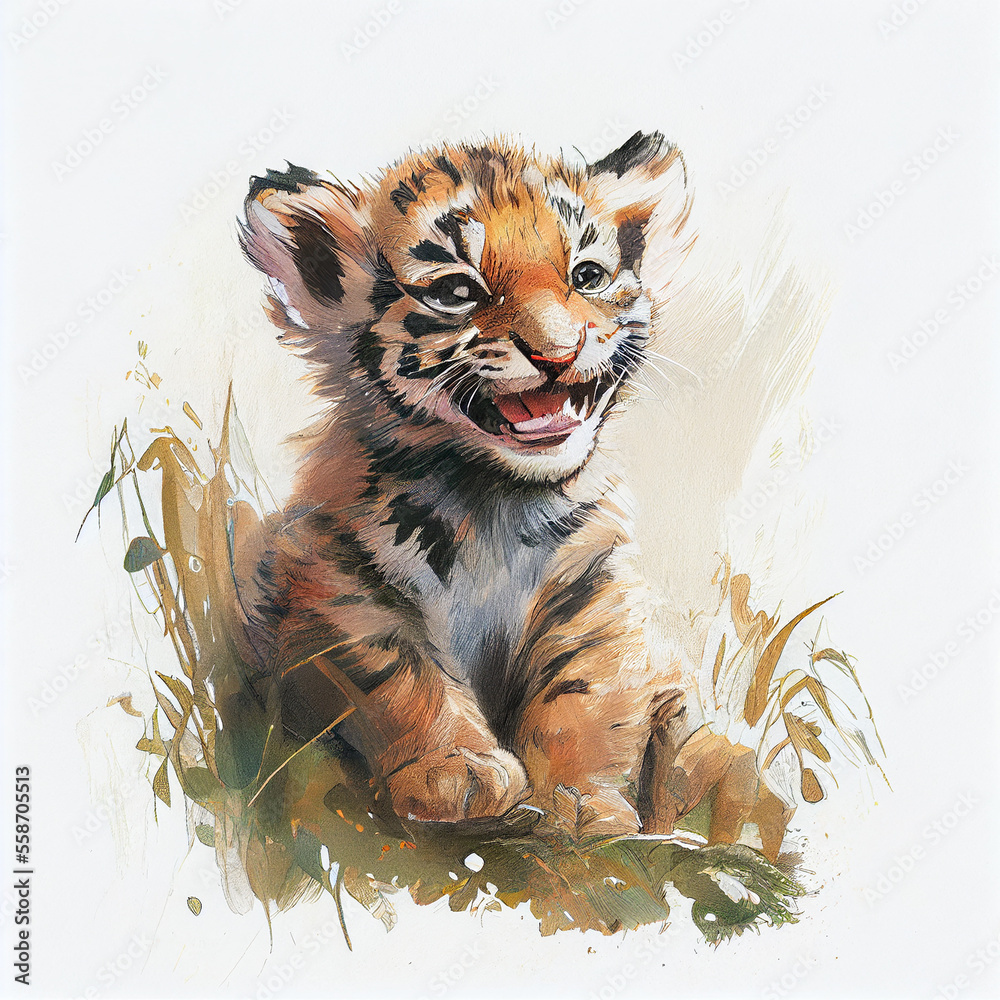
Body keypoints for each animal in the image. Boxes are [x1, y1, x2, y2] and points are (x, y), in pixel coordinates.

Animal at [236, 131, 787, 851]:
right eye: (457, 291)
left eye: (587, 276)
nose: (559, 351)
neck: (492, 498)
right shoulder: (338, 582)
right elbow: (402, 676)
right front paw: (456, 770)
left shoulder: (593, 586)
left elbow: (586, 693)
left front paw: (583, 804)